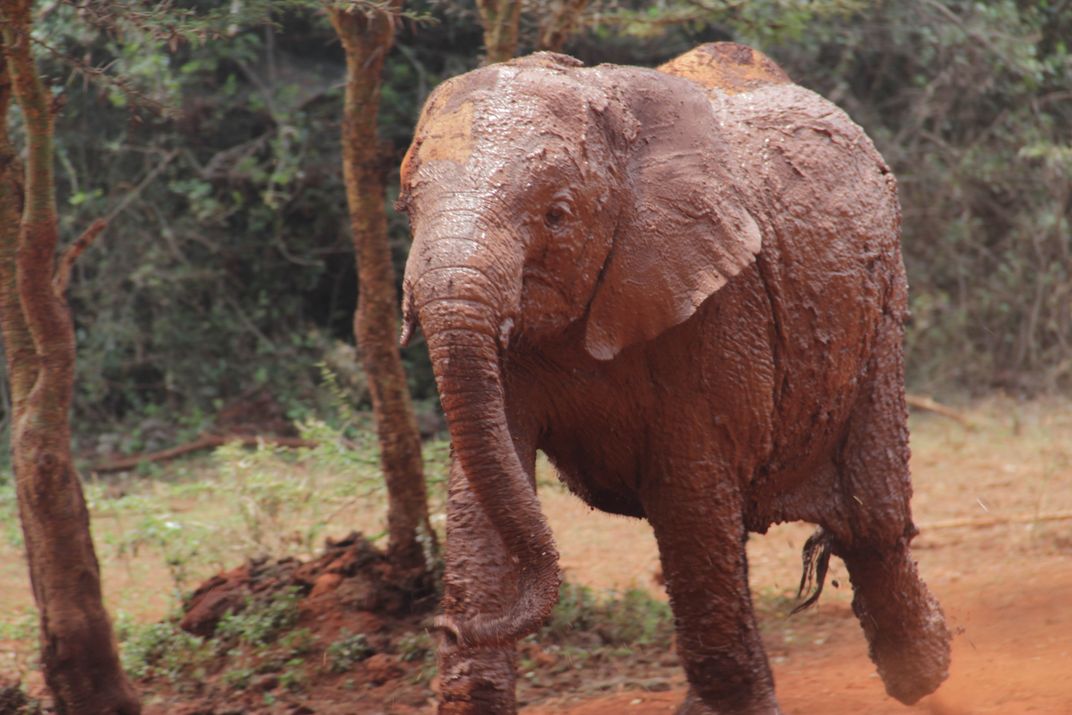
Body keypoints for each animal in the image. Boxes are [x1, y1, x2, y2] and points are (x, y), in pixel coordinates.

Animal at [397, 42, 951, 714]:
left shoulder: (718, 309)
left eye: (557, 216)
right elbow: (482, 494)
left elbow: (690, 495)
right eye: (406, 208)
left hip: (881, 309)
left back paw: (926, 669)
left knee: (872, 522)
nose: (445, 625)